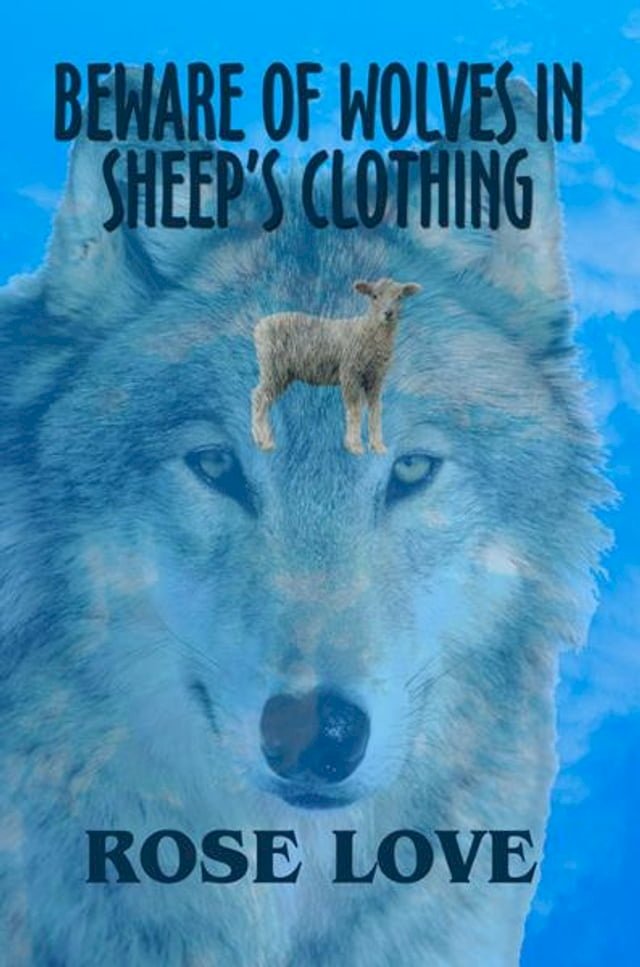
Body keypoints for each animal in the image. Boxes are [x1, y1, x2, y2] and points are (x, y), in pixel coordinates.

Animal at [251, 278, 421, 455]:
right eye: (374, 296)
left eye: (400, 297)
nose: (388, 313)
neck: (368, 331)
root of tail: (259, 327)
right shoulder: (350, 373)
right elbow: (354, 410)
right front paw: (355, 445)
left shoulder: (375, 379)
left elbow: (375, 410)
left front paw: (377, 445)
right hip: (273, 368)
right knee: (259, 398)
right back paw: (264, 441)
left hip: (282, 373)